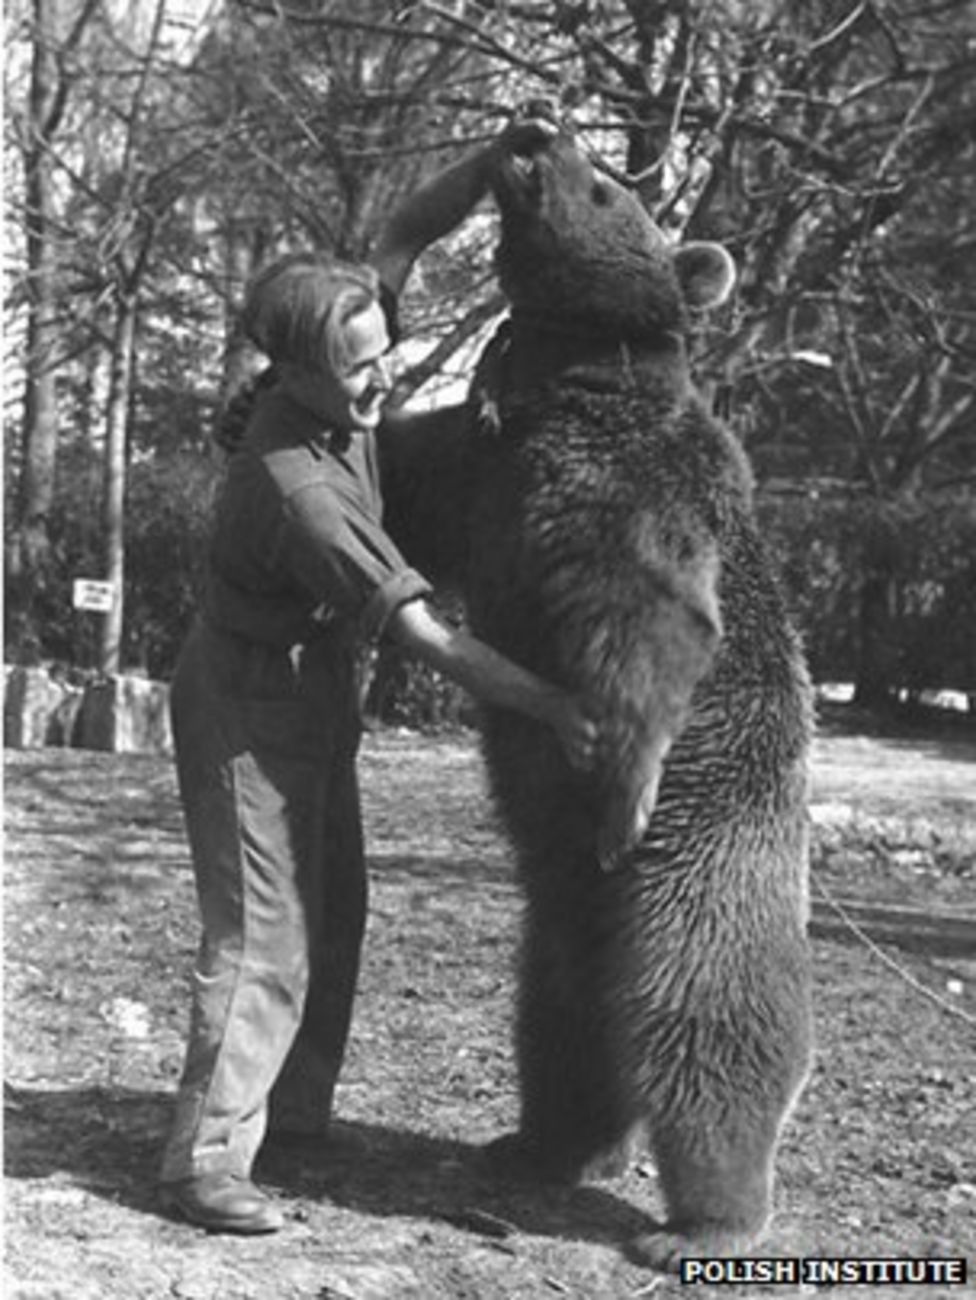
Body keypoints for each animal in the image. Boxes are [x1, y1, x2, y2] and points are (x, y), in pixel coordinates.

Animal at [378, 124, 814, 1273]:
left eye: (609, 184)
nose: (530, 129)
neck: (560, 384)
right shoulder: (478, 459)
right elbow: (401, 478)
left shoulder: (626, 488)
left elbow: (650, 613)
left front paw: (623, 770)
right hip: (562, 927)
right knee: (561, 1030)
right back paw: (541, 1142)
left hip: (702, 870)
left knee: (708, 1026)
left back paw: (703, 1219)